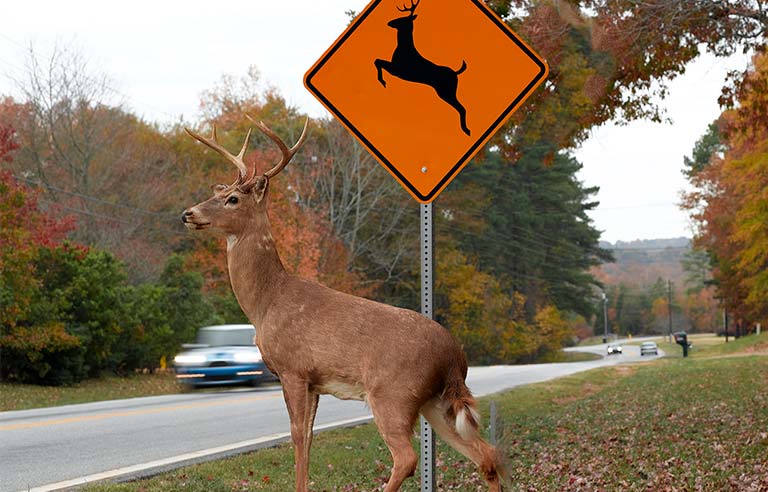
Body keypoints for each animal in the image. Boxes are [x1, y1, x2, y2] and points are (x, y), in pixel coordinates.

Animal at [181, 118, 506, 492]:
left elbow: (297, 437)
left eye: (232, 199)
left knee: (407, 458)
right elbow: (308, 438)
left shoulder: (293, 369)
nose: (187, 213)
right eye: (217, 194)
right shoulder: (314, 382)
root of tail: (455, 356)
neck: (266, 301)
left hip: (393, 393)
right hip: (434, 401)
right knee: (486, 453)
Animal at [374, 0, 471, 136]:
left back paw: (466, 130)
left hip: (446, 91)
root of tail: (456, 73)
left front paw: (382, 81)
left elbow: (378, 61)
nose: (389, 22)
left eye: (402, 19)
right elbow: (377, 61)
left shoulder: (398, 70)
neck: (403, 48)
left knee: (462, 108)